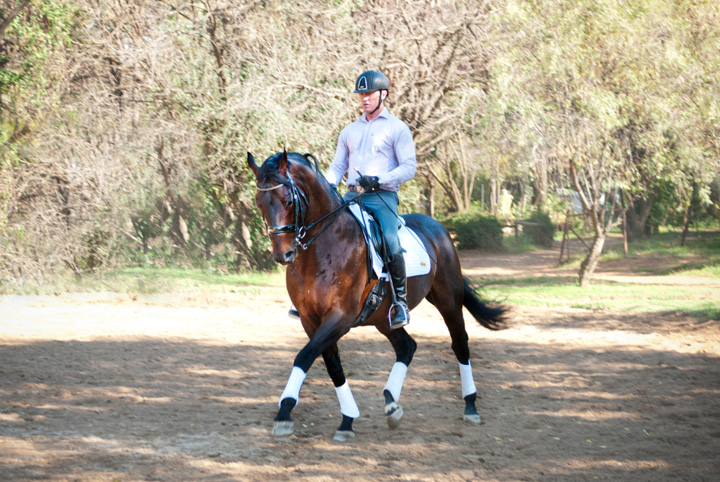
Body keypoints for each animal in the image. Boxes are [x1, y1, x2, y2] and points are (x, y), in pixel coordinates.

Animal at [247, 151, 506, 442]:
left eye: (289, 201)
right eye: (259, 203)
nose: (284, 255)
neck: (323, 247)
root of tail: (438, 228)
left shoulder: (340, 317)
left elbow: (305, 356)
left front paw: (284, 412)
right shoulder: (310, 319)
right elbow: (331, 364)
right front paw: (347, 420)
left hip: (448, 300)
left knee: (459, 343)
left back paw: (470, 406)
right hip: (384, 317)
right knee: (406, 347)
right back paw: (392, 404)